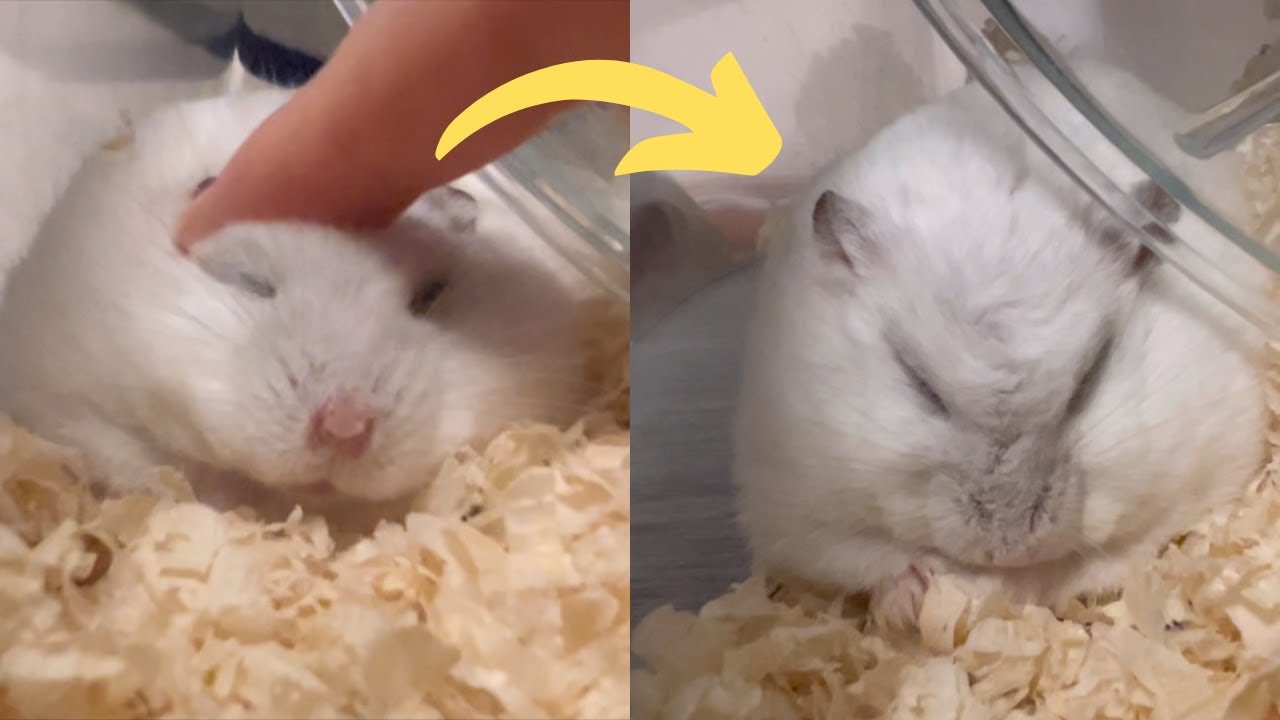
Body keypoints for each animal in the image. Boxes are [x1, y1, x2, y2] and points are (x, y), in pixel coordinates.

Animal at [733, 58, 1270, 629]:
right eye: (919, 382)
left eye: (1091, 376)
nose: (1009, 548)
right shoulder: (798, 509)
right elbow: (870, 558)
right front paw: (914, 601)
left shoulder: (1207, 463)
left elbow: (1107, 557)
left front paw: (1012, 590)